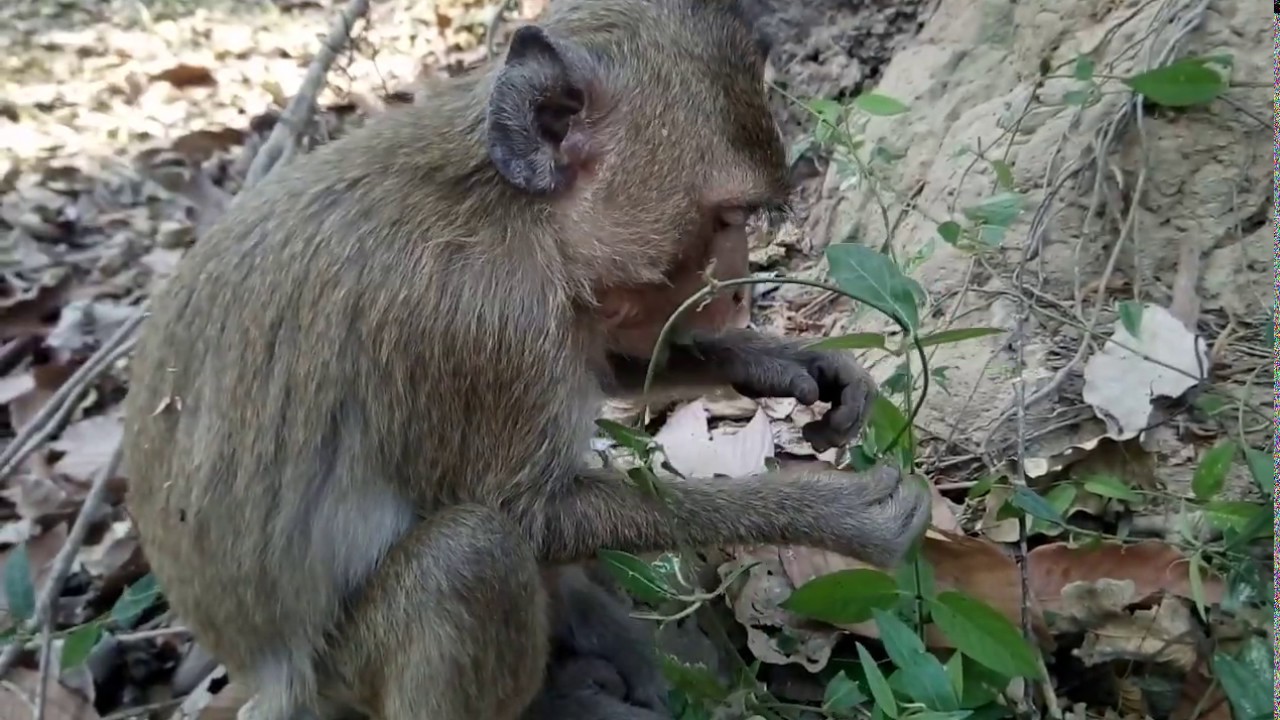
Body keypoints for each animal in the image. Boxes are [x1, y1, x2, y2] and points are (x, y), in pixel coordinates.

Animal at [121, 2, 933, 720]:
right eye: (728, 219)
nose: (739, 290)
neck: (514, 213)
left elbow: (607, 365)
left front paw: (788, 364)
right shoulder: (478, 323)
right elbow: (528, 516)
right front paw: (828, 512)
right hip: (342, 677)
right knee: (469, 554)